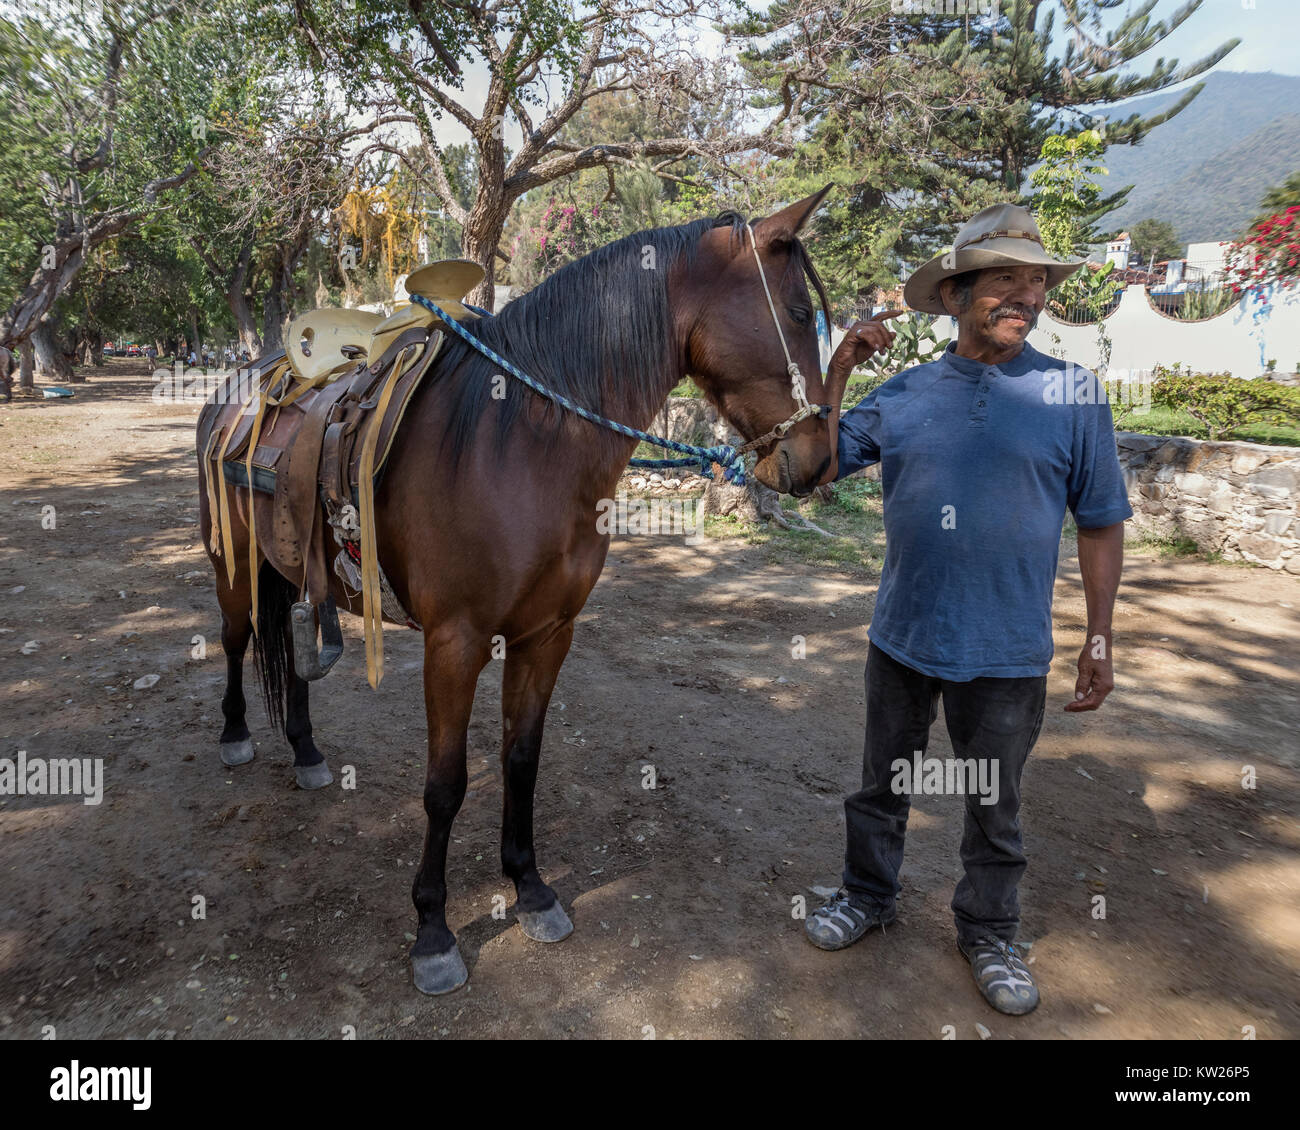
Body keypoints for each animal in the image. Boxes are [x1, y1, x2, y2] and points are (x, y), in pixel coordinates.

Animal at [196, 186, 846, 994]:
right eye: (797, 312)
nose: (821, 460)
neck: (520, 441)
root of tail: (240, 385)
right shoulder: (455, 642)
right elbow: (445, 784)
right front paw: (433, 930)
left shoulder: (547, 634)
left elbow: (522, 760)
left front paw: (530, 888)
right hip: (231, 565)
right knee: (235, 639)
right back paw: (235, 735)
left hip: (287, 570)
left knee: (287, 646)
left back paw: (308, 751)